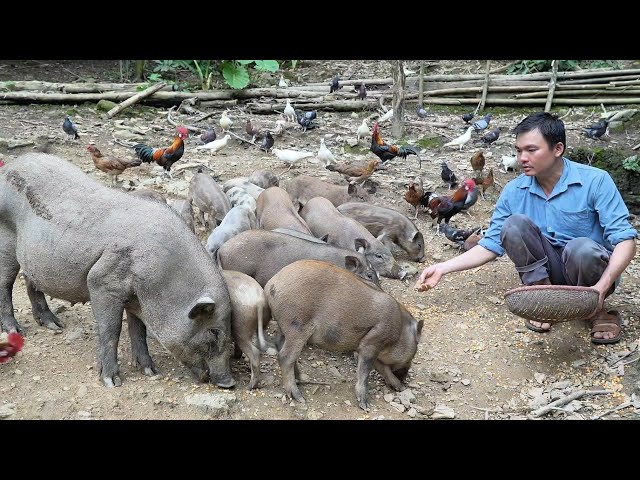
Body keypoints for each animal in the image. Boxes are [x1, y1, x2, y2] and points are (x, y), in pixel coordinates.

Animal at [0, 153, 235, 389]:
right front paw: (112, 382)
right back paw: (17, 330)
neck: (161, 279)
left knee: (31, 281)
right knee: (6, 285)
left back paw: (55, 325)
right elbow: (111, 330)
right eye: (214, 331)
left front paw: (150, 371)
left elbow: (138, 331)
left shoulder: (135, 298)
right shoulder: (101, 282)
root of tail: (10, 166)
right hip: (7, 241)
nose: (229, 382)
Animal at [264, 259, 423, 411]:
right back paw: (299, 397)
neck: (400, 329)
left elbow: (382, 368)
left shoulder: (371, 348)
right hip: (297, 327)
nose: (405, 380)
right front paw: (365, 405)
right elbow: (365, 372)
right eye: (414, 352)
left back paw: (301, 377)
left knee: (281, 347)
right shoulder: (371, 343)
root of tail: (270, 284)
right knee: (285, 357)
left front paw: (400, 388)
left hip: (285, 327)